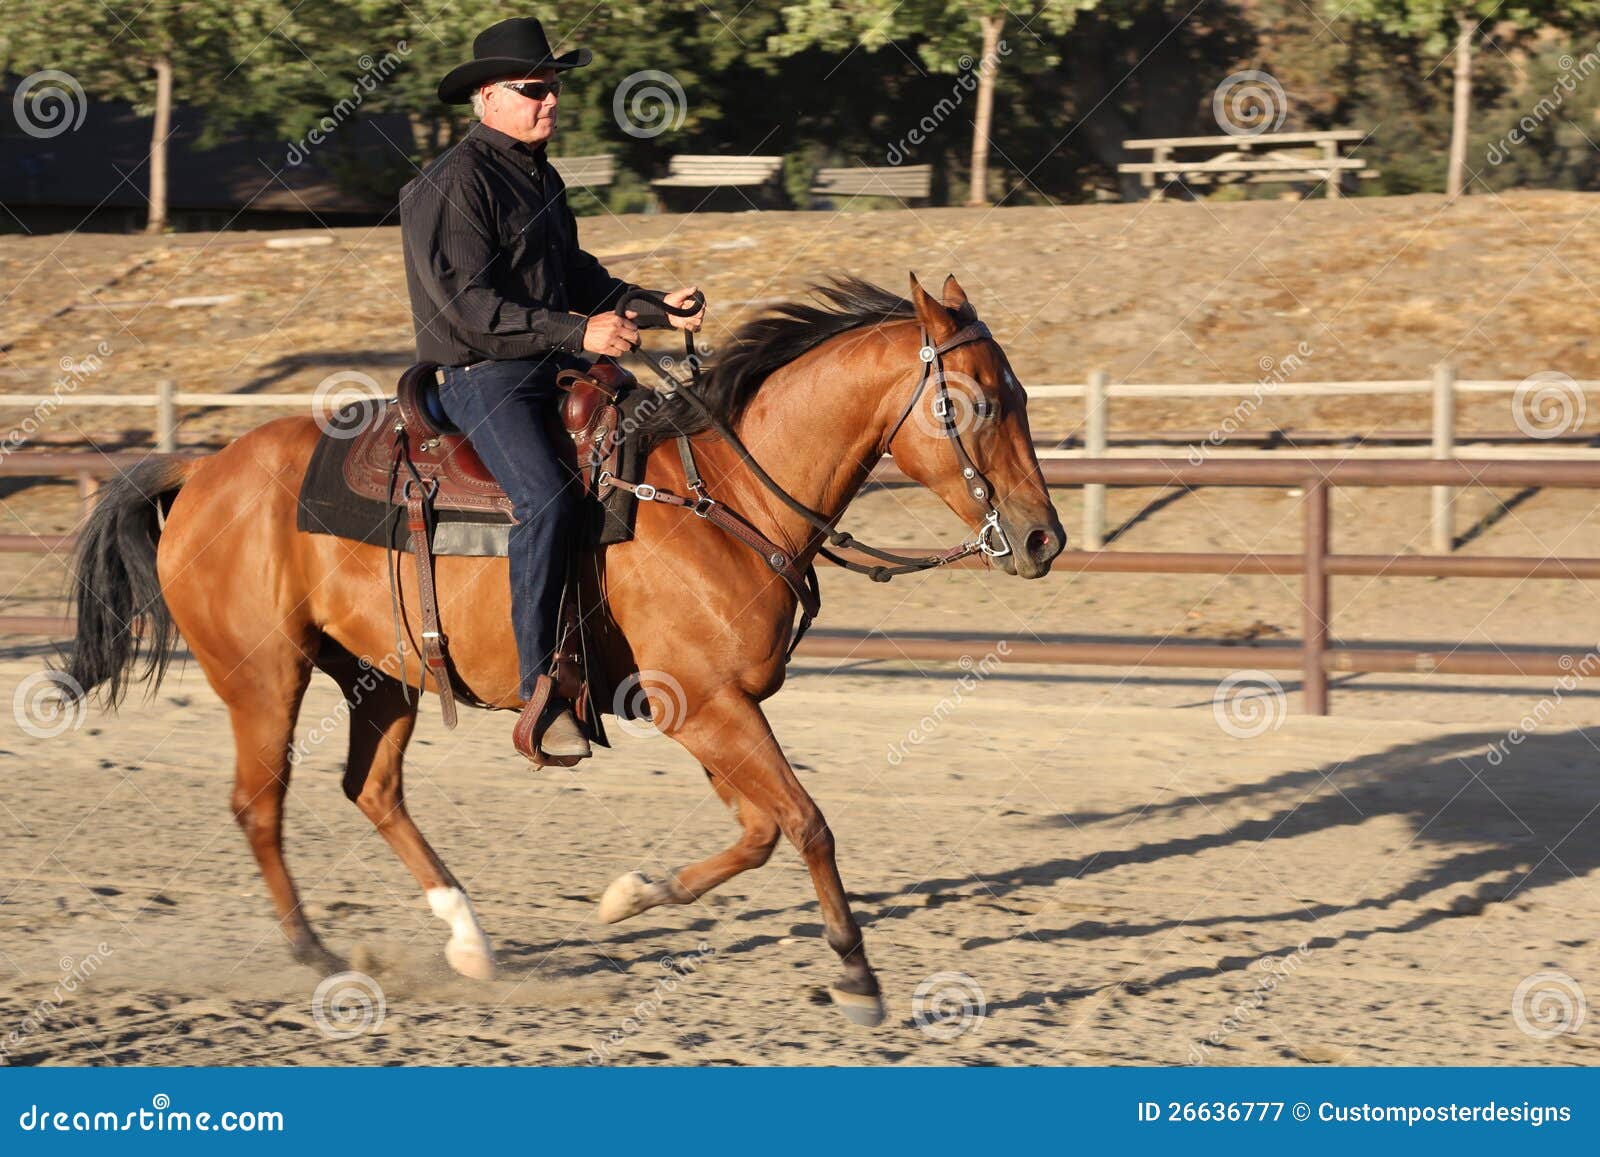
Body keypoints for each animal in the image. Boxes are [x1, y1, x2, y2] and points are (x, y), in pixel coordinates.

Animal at [62, 273, 1065, 1026]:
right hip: (266, 676)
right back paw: (314, 951)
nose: (1042, 538)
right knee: (258, 805)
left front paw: (633, 893)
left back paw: (468, 940)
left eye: (1022, 394)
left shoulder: (710, 708)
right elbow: (806, 822)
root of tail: (205, 468)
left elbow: (759, 830)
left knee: (372, 790)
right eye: (977, 402)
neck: (724, 494)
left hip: (384, 674)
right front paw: (856, 975)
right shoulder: (705, 704)